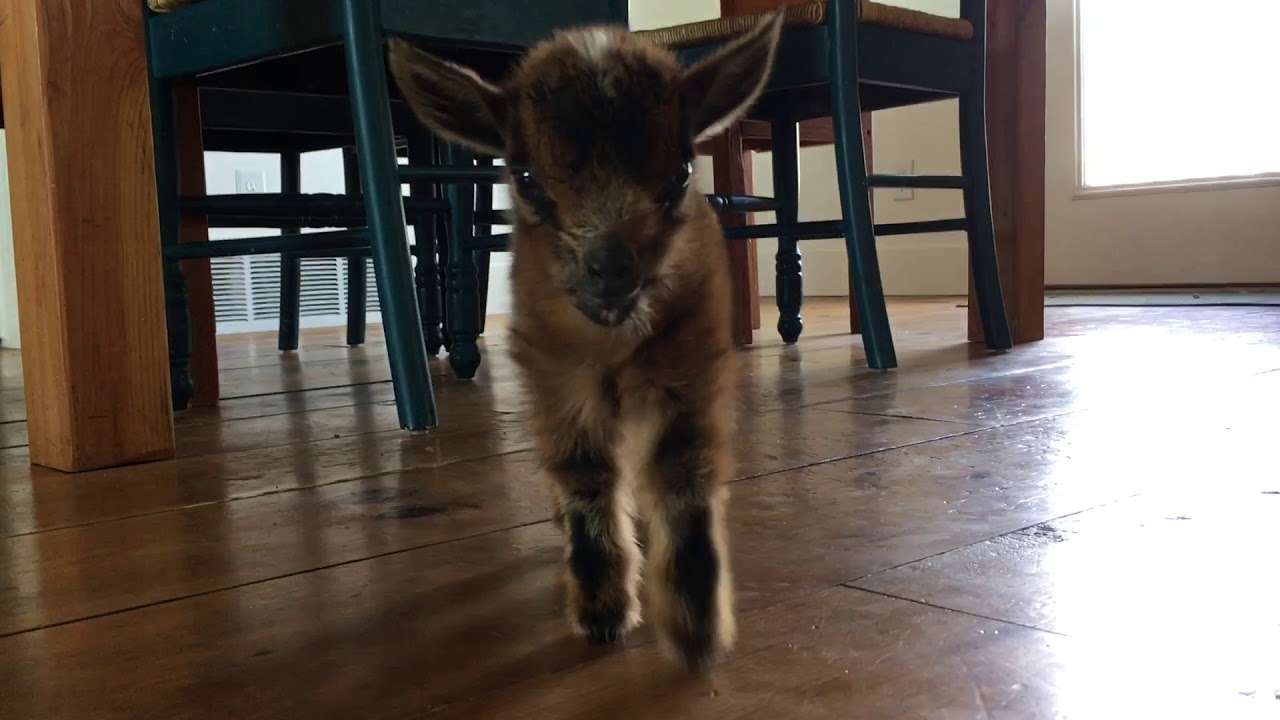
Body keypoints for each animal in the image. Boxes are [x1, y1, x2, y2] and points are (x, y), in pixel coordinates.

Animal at [386, 10, 785, 671]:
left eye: (682, 172)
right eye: (524, 178)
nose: (611, 268)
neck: (610, 342)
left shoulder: (686, 358)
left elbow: (683, 471)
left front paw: (696, 632)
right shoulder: (556, 373)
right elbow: (584, 472)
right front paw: (603, 613)